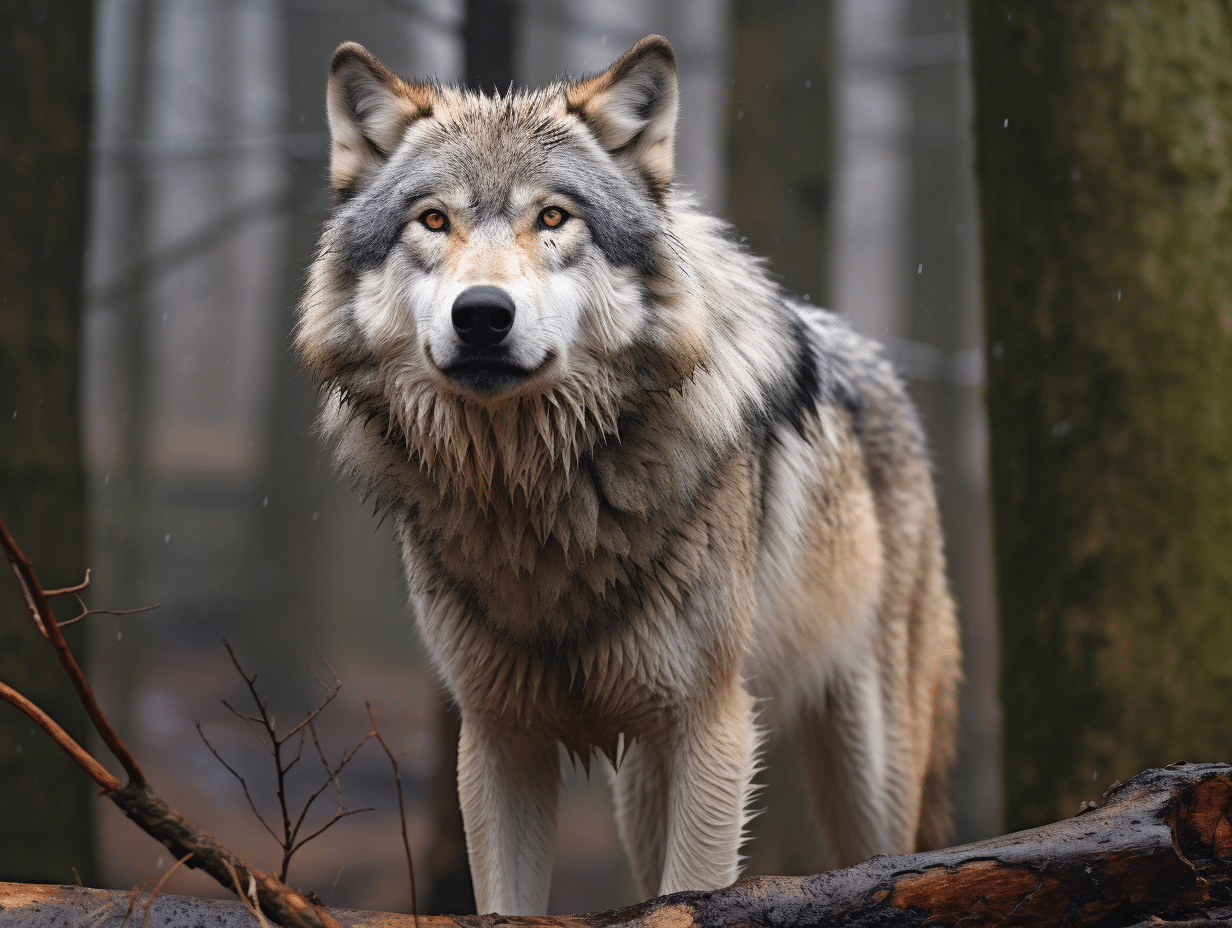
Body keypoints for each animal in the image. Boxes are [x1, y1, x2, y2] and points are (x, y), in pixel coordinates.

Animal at [296, 34, 961, 916]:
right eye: (433, 220)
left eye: (553, 217)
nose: (482, 314)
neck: (534, 497)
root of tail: (877, 363)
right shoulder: (498, 737)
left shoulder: (714, 729)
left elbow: (690, 898)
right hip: (642, 787)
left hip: (867, 771)